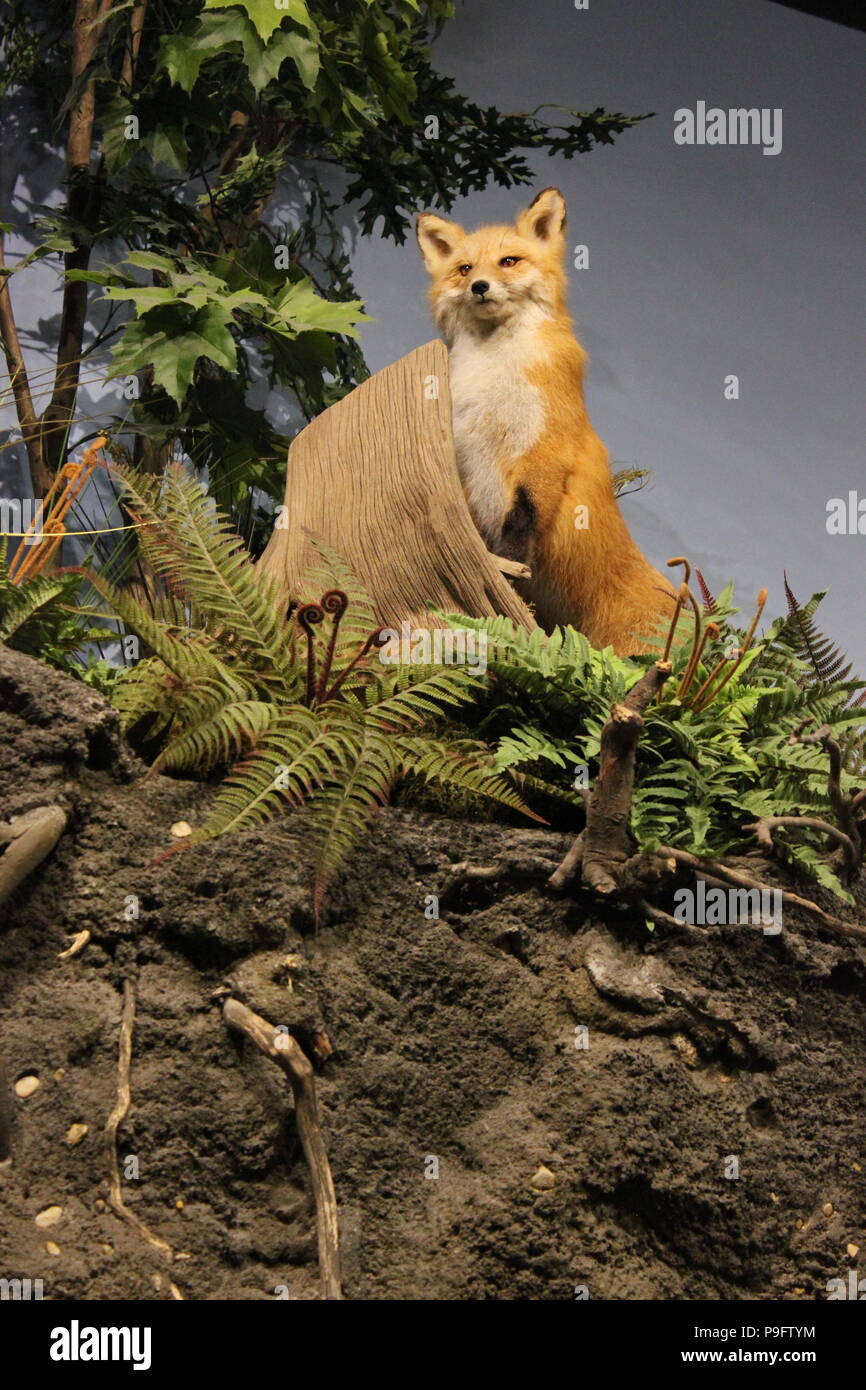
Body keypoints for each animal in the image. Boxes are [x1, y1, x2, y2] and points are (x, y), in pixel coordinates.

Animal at [416, 187, 676, 655]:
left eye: (508, 261)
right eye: (464, 269)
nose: (479, 287)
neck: (492, 377)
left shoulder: (542, 453)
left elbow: (520, 527)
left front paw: (508, 572)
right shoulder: (467, 460)